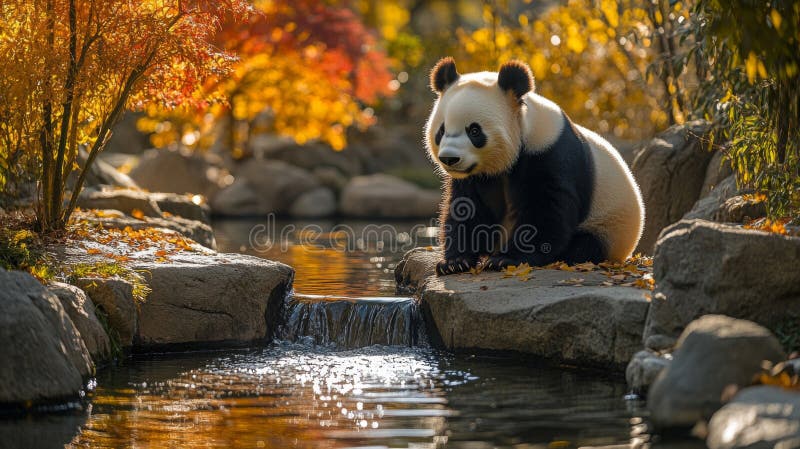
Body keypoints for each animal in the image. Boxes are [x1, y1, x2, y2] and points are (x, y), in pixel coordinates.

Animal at [425, 57, 644, 275]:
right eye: (441, 130)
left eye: (474, 131)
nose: (449, 158)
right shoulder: (476, 176)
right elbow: (467, 209)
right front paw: (454, 262)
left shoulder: (550, 153)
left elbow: (544, 212)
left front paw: (505, 259)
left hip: (608, 226)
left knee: (586, 245)